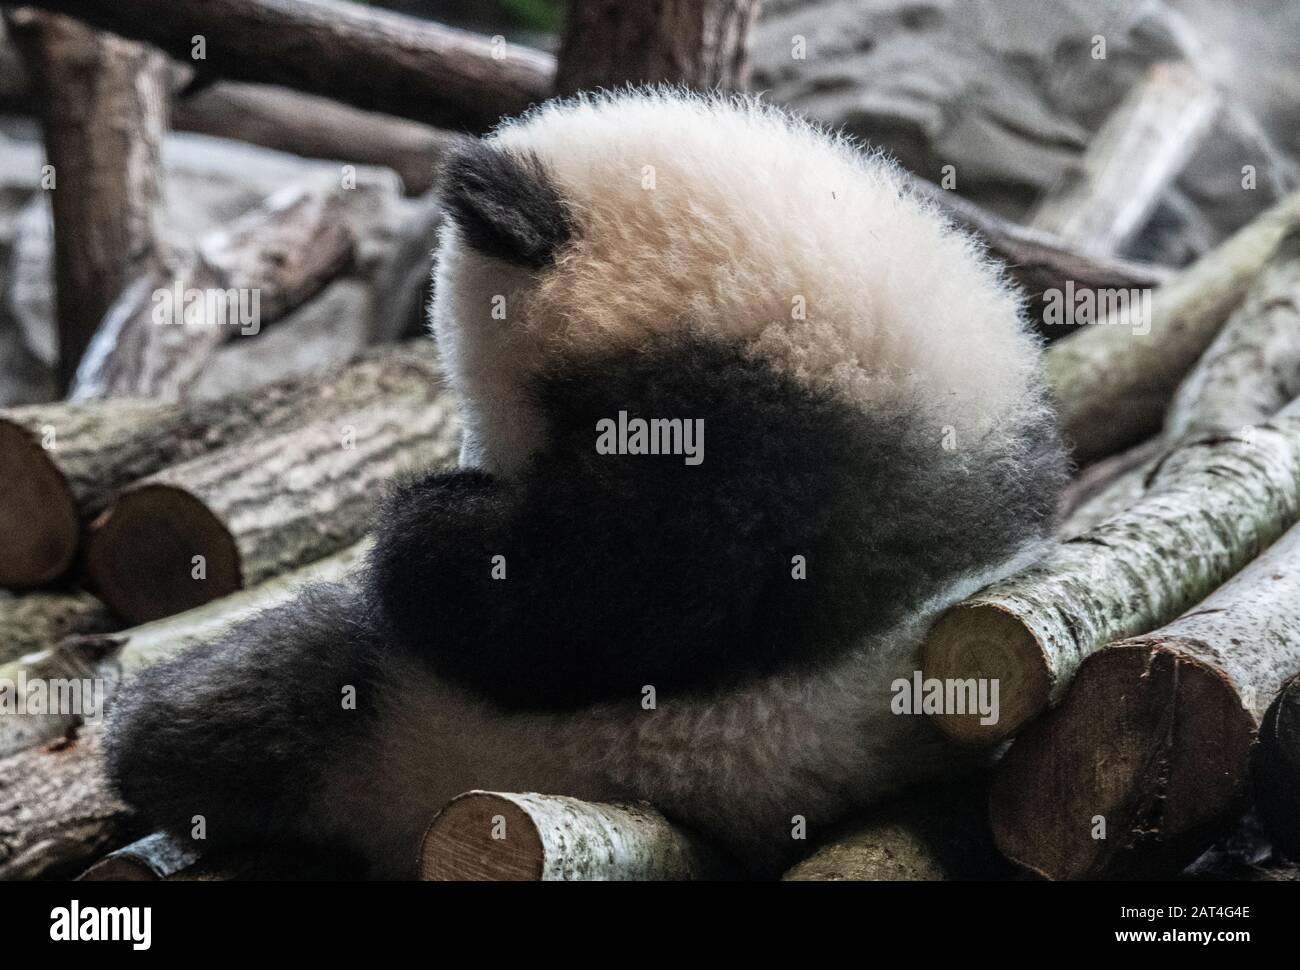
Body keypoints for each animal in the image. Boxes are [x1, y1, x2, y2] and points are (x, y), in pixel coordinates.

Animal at [105, 89, 1067, 879]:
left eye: (507, 409)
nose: (484, 471)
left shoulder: (766, 450)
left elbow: (598, 601)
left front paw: (434, 525)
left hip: (467, 740)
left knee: (258, 700)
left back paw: (156, 744)